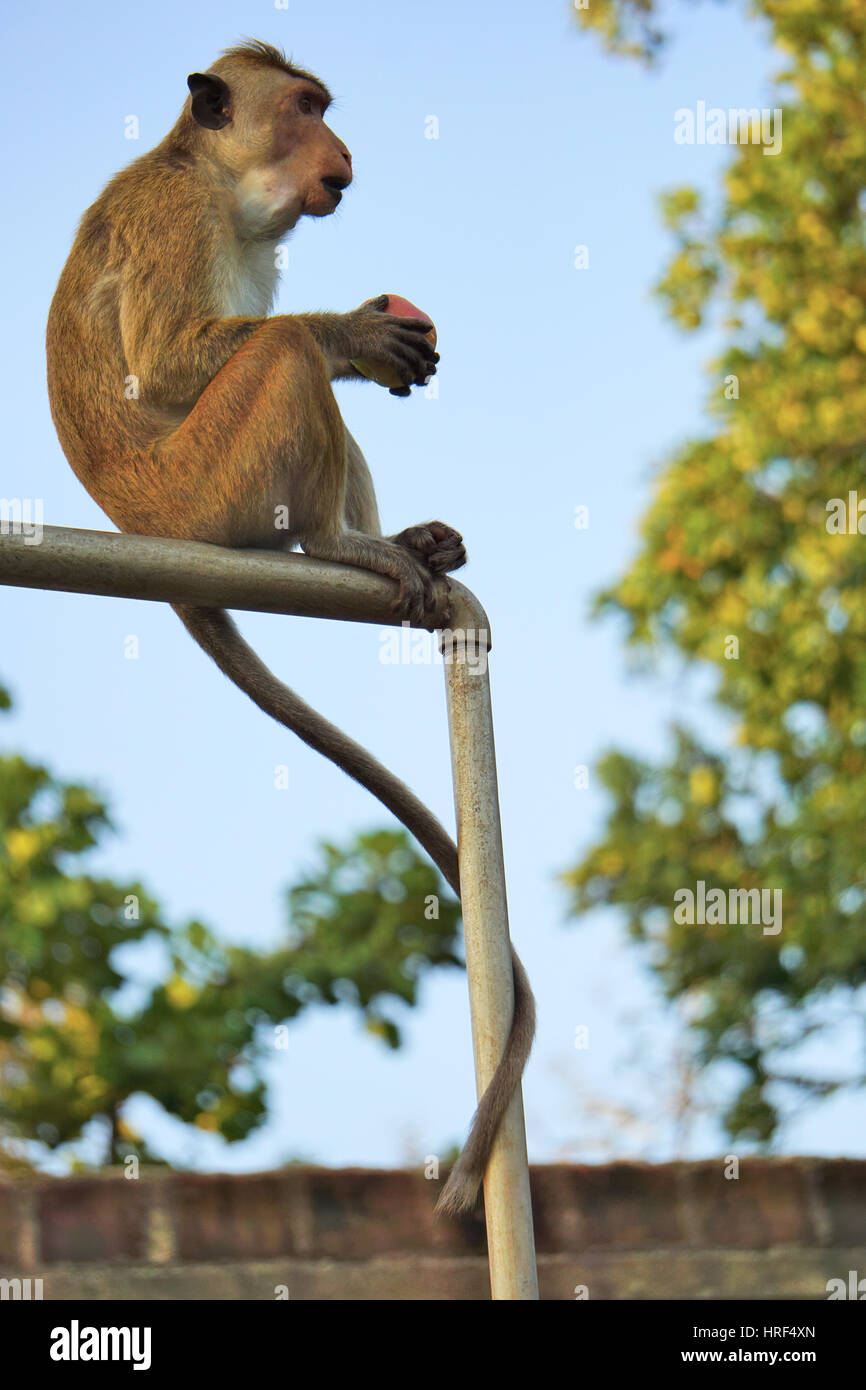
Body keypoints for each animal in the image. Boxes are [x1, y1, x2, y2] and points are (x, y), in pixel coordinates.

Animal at [46, 39, 534, 1216]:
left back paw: (394, 542)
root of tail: (136, 528)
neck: (218, 184)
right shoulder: (176, 219)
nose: (342, 151)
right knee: (275, 360)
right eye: (305, 108)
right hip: (204, 492)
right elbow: (177, 358)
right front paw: (355, 331)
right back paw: (334, 544)